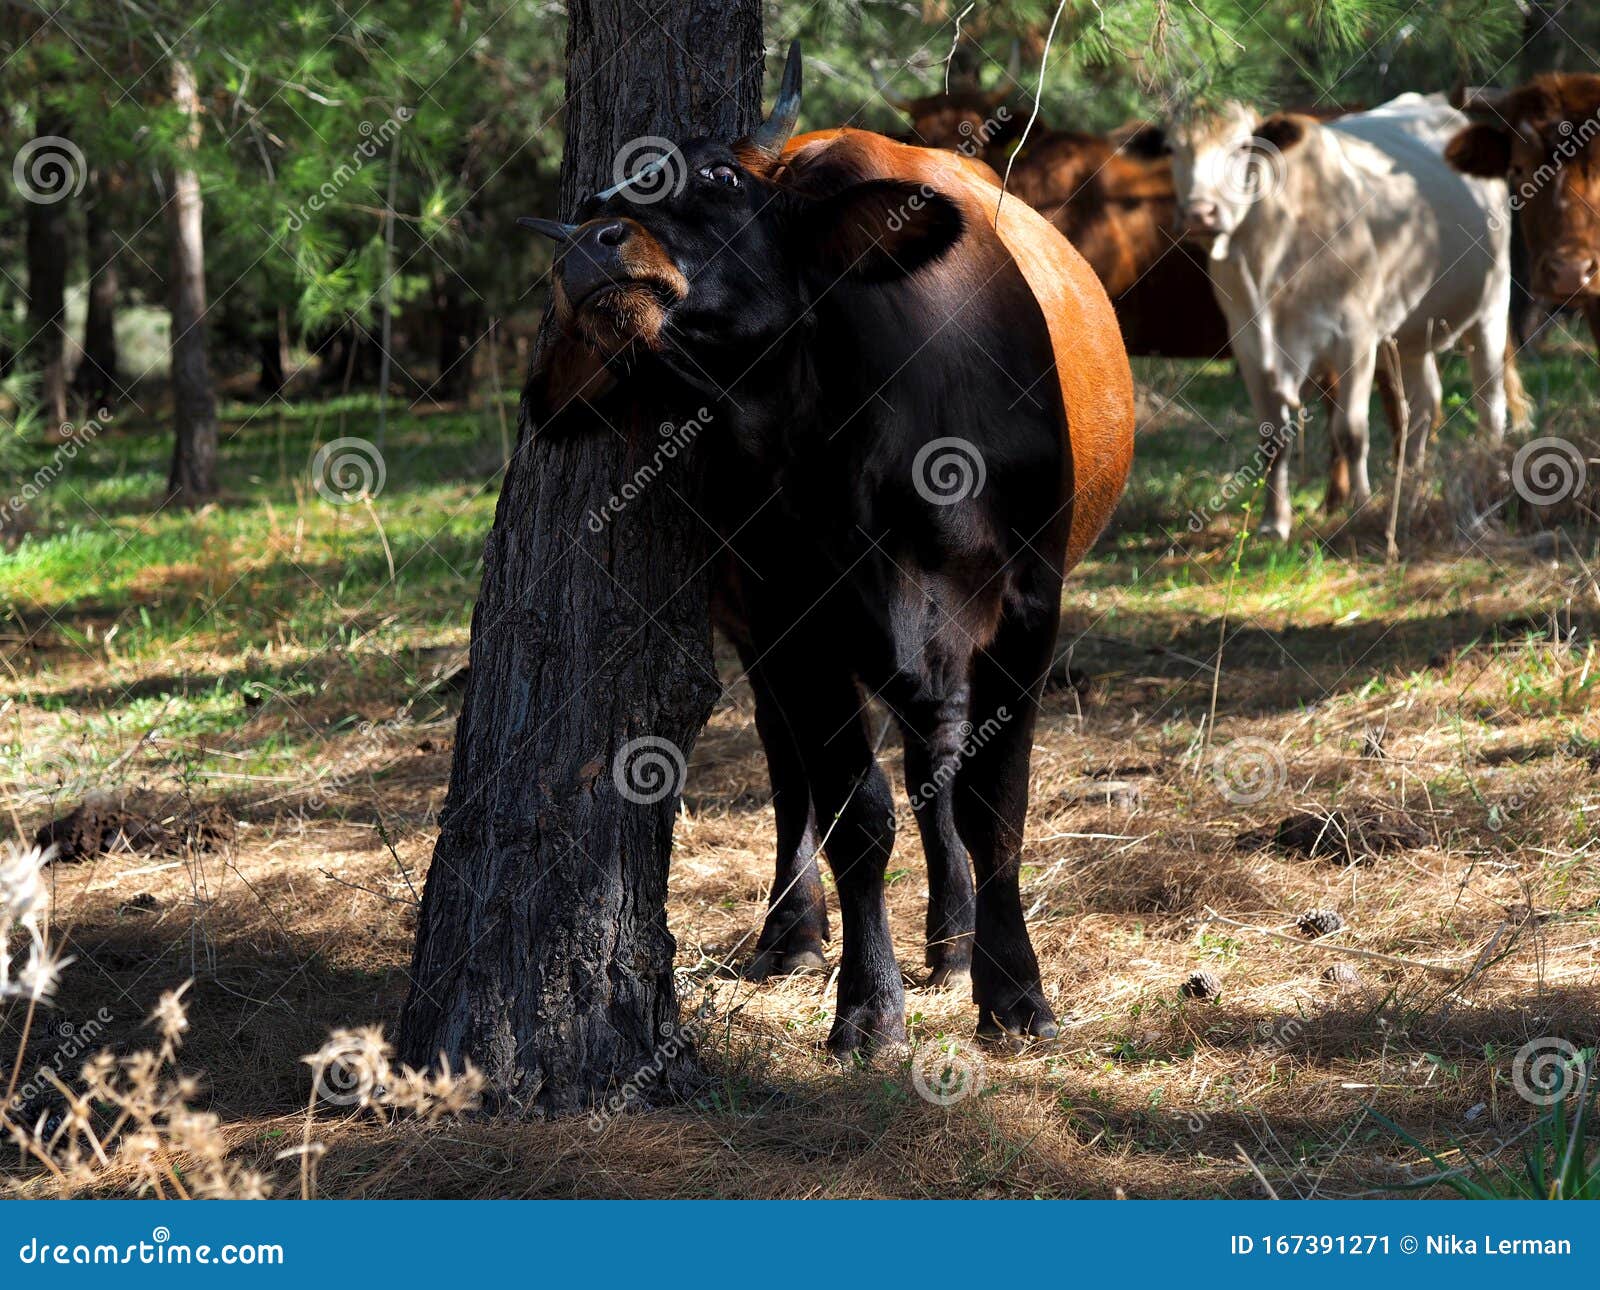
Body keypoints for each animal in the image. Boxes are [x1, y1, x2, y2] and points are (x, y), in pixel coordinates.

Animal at [521, 44, 1135, 1052]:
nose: (586, 247)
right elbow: (855, 812)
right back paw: (796, 932)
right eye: (589, 202)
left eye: (720, 178)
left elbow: (992, 806)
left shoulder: (1027, 611)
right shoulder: (791, 620)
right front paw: (868, 1006)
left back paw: (955, 938)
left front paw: (1014, 991)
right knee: (796, 771)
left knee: (936, 765)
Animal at [1133, 95, 1516, 540]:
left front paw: (1360, 506)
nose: (1199, 213)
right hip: (1413, 330)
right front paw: (1274, 522)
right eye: (1172, 149)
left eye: (1242, 147)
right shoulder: (1249, 347)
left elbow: (1351, 431)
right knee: (1422, 406)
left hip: (1491, 305)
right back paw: (1413, 484)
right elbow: (1273, 443)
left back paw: (1489, 473)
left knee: (1490, 399)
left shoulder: (1356, 339)